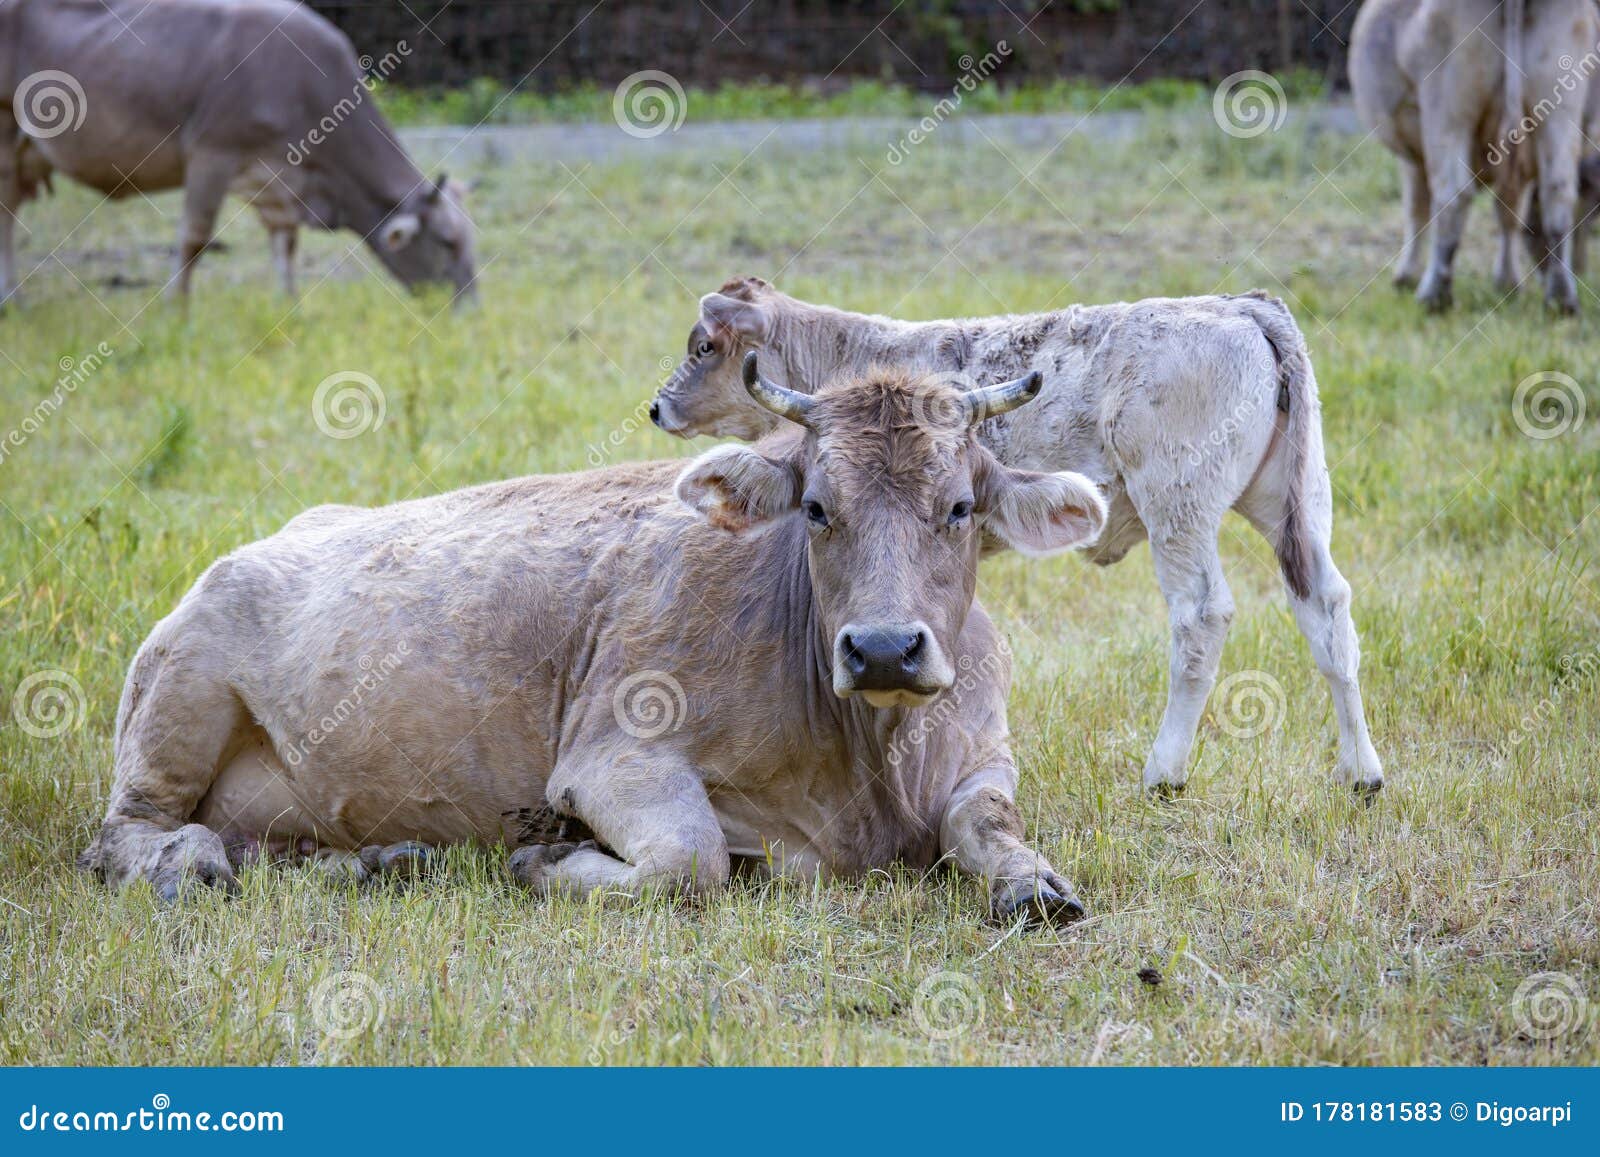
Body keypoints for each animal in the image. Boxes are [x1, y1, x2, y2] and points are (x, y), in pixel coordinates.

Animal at [0, 0, 476, 306]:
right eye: (447, 242)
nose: (471, 309)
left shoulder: (280, 181)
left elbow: (285, 246)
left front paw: (289, 306)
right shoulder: (212, 152)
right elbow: (194, 238)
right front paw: (176, 307)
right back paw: (12, 298)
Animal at [79, 359, 1108, 926]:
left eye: (961, 507)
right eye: (817, 507)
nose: (887, 649)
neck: (868, 761)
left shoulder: (983, 750)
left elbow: (987, 823)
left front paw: (1033, 885)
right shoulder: (616, 753)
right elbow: (691, 858)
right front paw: (544, 861)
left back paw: (381, 860)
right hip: (179, 696)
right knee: (125, 835)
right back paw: (191, 864)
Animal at [649, 278, 1385, 797]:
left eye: (704, 346)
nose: (657, 406)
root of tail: (1242, 308)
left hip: (1180, 506)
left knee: (1201, 617)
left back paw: (1164, 771)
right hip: (1296, 503)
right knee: (1327, 607)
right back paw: (1362, 771)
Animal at [1350, 0, 1599, 313]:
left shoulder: (1412, 157)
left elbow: (1416, 209)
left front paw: (1405, 276)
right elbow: (1509, 213)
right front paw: (1507, 282)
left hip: (1447, 107)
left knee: (1453, 195)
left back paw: (1434, 295)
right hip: (1560, 104)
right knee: (1557, 192)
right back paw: (1562, 299)